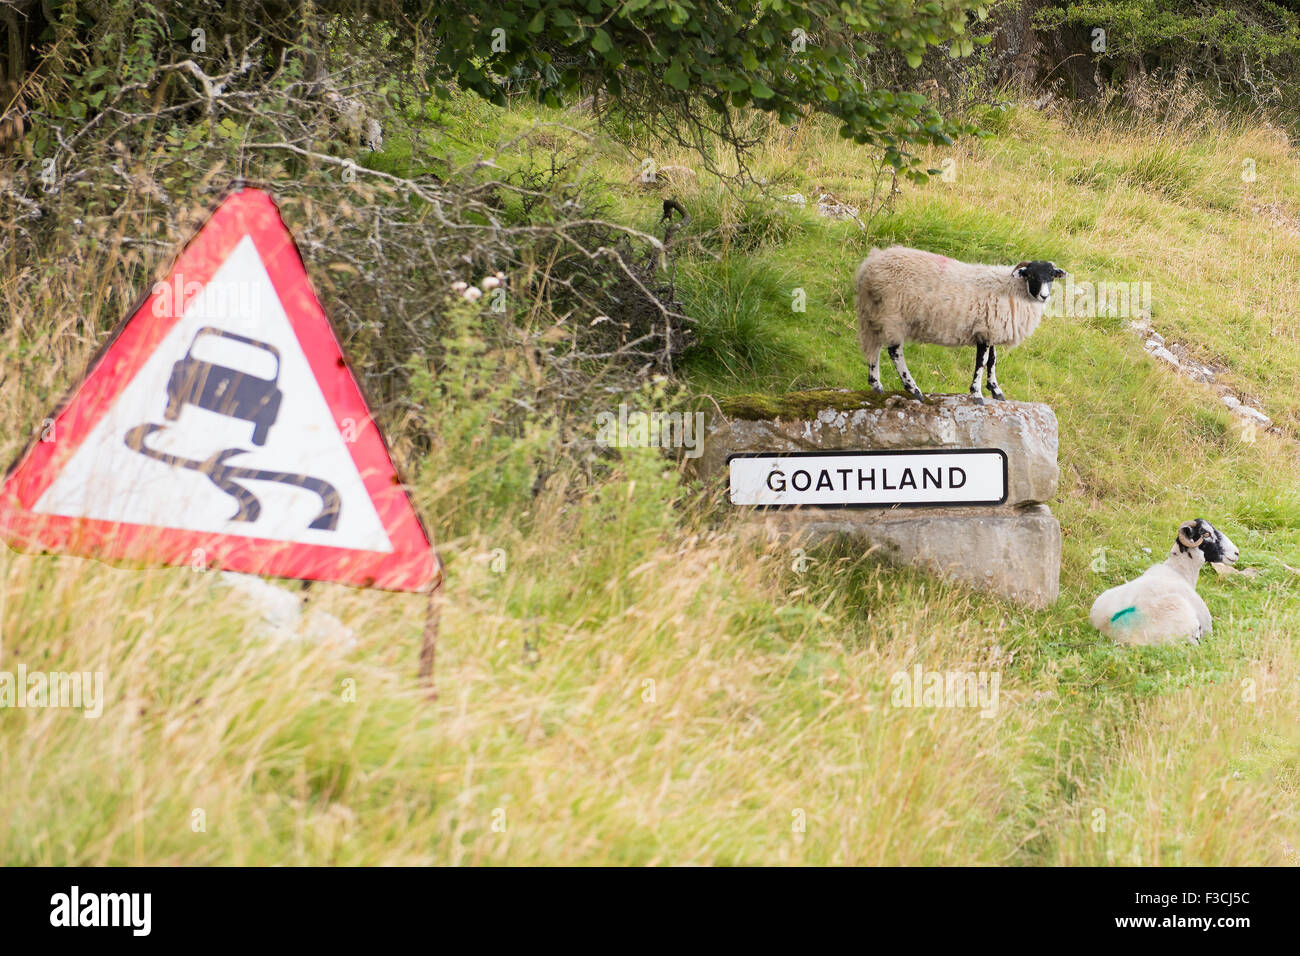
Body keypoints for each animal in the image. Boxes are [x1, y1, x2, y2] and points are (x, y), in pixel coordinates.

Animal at [854, 246, 1065, 403]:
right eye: (1032, 275)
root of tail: (870, 263)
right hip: (892, 316)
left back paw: (877, 386)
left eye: (1051, 276)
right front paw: (977, 394)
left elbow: (992, 361)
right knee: (894, 352)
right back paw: (913, 389)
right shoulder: (984, 331)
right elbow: (981, 363)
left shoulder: (991, 330)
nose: (1044, 296)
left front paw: (996, 391)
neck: (1010, 288)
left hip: (874, 314)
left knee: (873, 349)